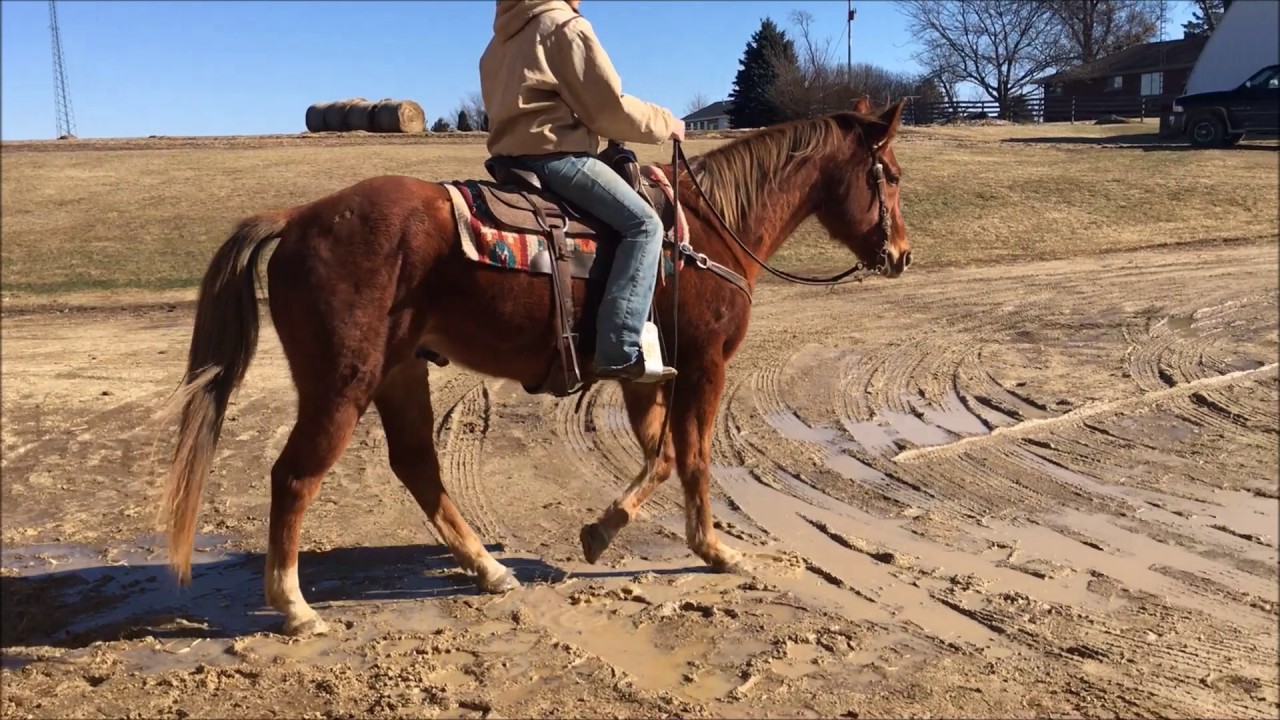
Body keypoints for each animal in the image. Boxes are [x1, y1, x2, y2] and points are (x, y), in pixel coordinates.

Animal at [156, 99, 911, 637]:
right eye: (893, 177)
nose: (902, 255)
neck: (708, 229)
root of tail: (298, 217)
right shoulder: (704, 366)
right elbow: (694, 457)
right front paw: (715, 550)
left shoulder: (646, 376)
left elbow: (663, 456)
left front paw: (602, 531)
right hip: (342, 384)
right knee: (295, 477)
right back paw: (294, 605)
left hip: (400, 374)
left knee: (417, 466)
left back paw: (487, 568)